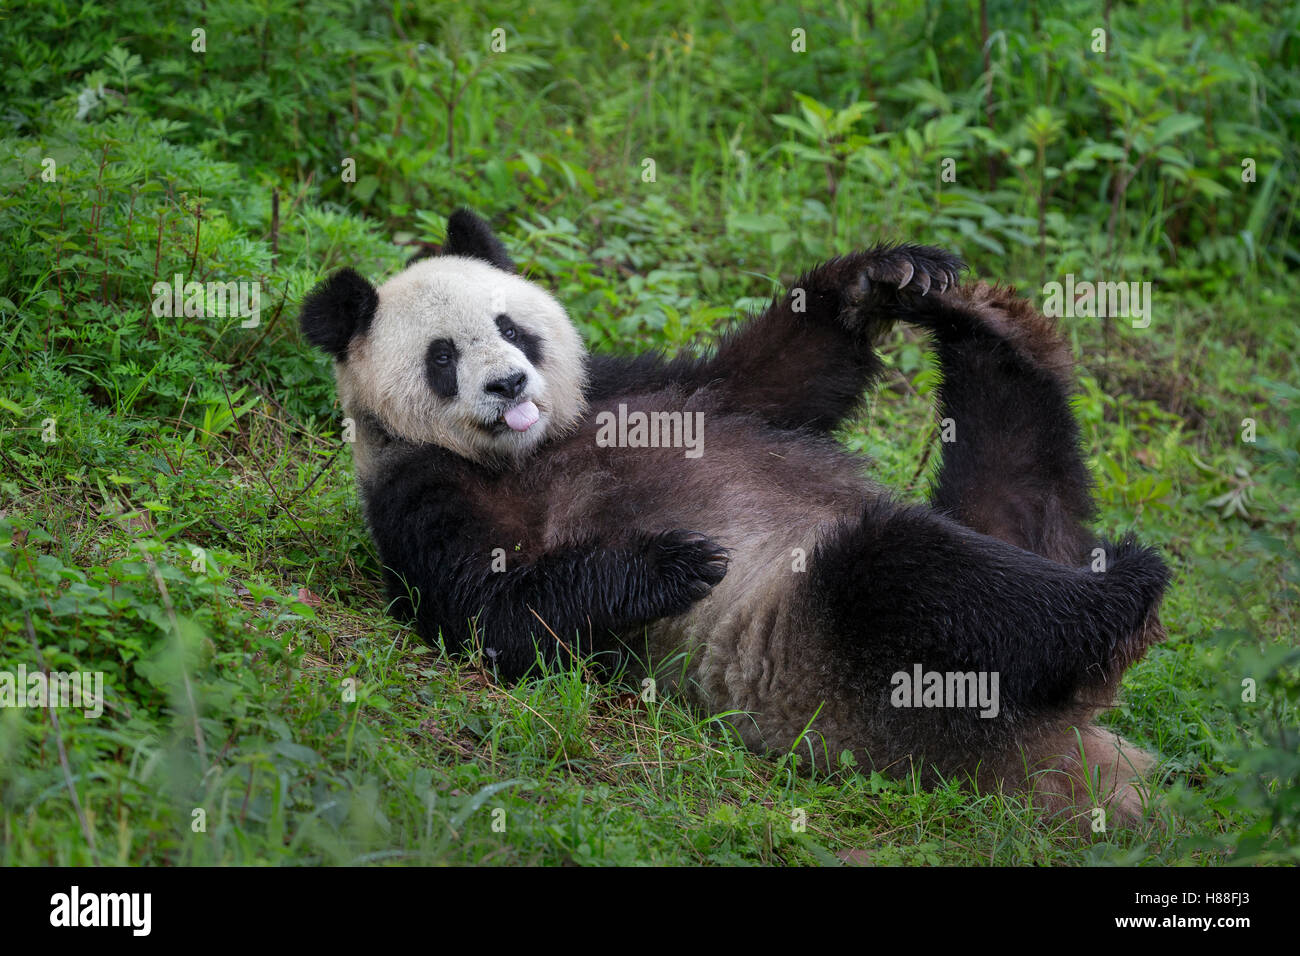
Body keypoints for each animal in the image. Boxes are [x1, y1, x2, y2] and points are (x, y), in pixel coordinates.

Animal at [299, 209, 1171, 826]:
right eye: (443, 357)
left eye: (514, 328)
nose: (510, 385)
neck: (534, 447)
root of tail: (1071, 752)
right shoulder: (420, 489)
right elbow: (496, 618)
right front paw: (669, 564)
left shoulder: (635, 387)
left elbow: (773, 379)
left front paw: (882, 276)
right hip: (866, 687)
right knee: (901, 572)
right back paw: (1123, 597)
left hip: (1007, 546)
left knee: (1016, 459)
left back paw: (991, 327)